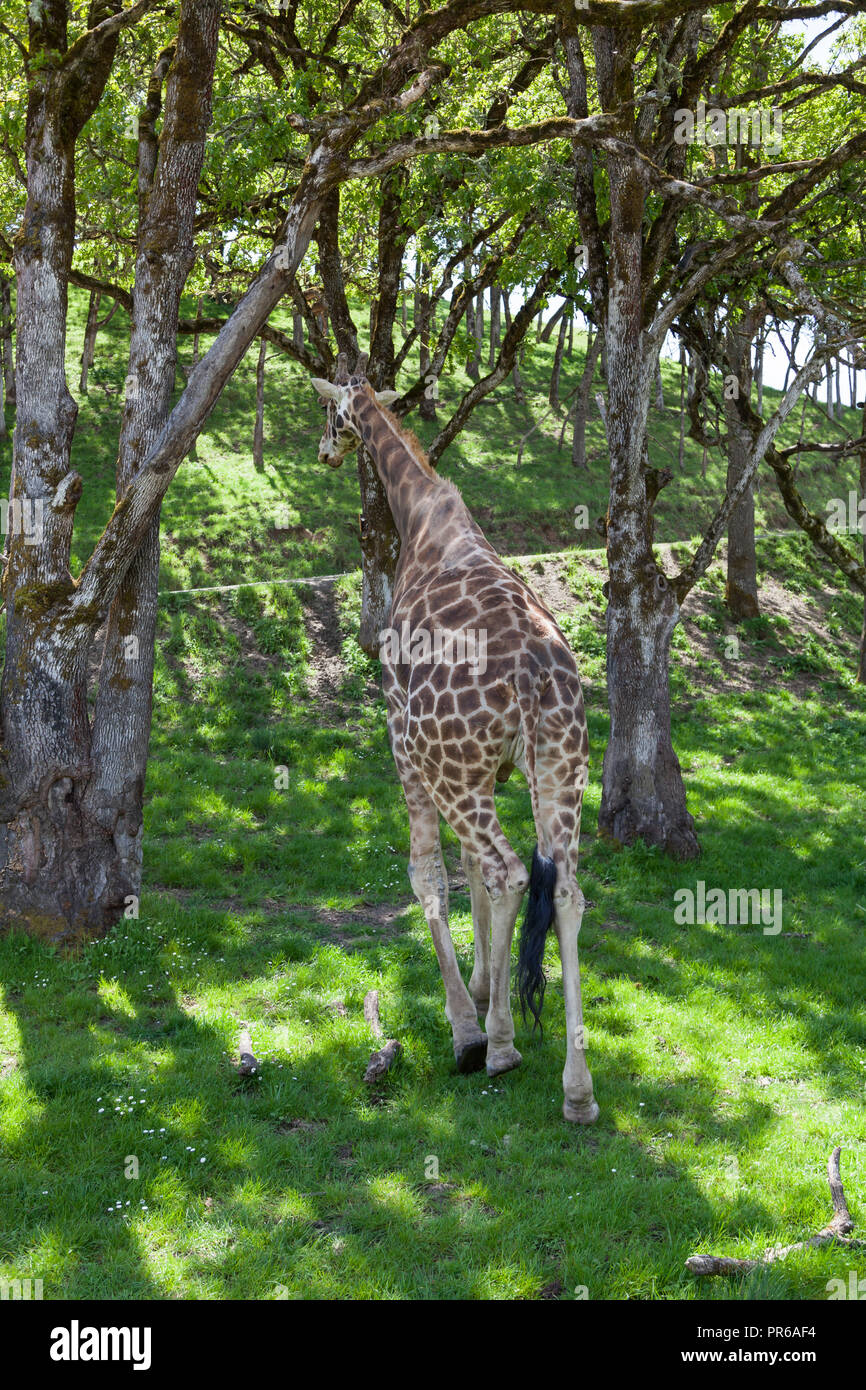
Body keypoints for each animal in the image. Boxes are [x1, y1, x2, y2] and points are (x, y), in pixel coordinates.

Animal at [311, 353, 599, 1124]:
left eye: (330, 412)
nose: (324, 451)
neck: (420, 519)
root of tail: (533, 675)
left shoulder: (402, 737)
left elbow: (430, 874)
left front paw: (466, 1022)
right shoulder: (494, 771)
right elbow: (472, 879)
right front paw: (481, 985)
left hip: (455, 766)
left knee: (509, 870)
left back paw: (497, 1048)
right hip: (560, 767)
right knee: (561, 890)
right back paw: (577, 1089)